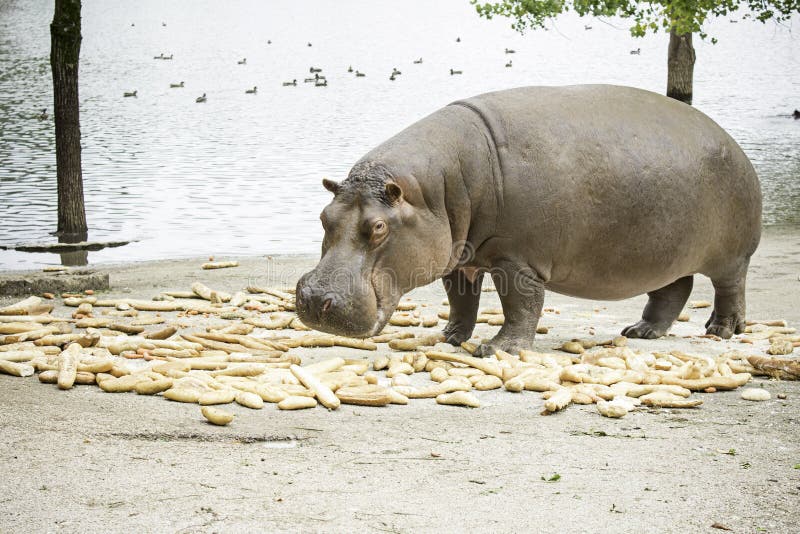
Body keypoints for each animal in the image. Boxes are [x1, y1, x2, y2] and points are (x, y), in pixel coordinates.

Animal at [296, 85, 762, 356]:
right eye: (323, 217)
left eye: (378, 227)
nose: (315, 299)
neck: (435, 191)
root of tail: (729, 138)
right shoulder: (460, 257)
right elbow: (461, 300)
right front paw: (448, 338)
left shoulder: (517, 259)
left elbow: (521, 305)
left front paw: (495, 349)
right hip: (663, 252)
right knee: (672, 289)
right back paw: (640, 332)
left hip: (731, 254)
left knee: (729, 286)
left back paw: (722, 330)